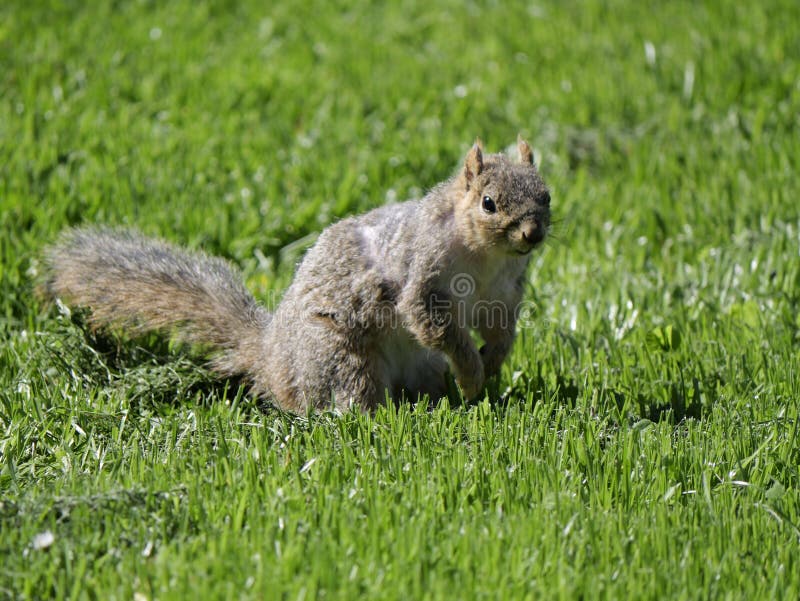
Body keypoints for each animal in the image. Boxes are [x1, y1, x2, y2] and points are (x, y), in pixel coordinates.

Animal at [42, 137, 551, 413]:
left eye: (546, 195)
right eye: (488, 203)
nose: (532, 233)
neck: (487, 257)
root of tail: (271, 358)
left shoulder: (503, 291)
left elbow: (500, 328)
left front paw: (492, 361)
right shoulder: (422, 274)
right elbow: (434, 323)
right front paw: (472, 375)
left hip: (420, 367)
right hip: (338, 356)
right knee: (347, 396)